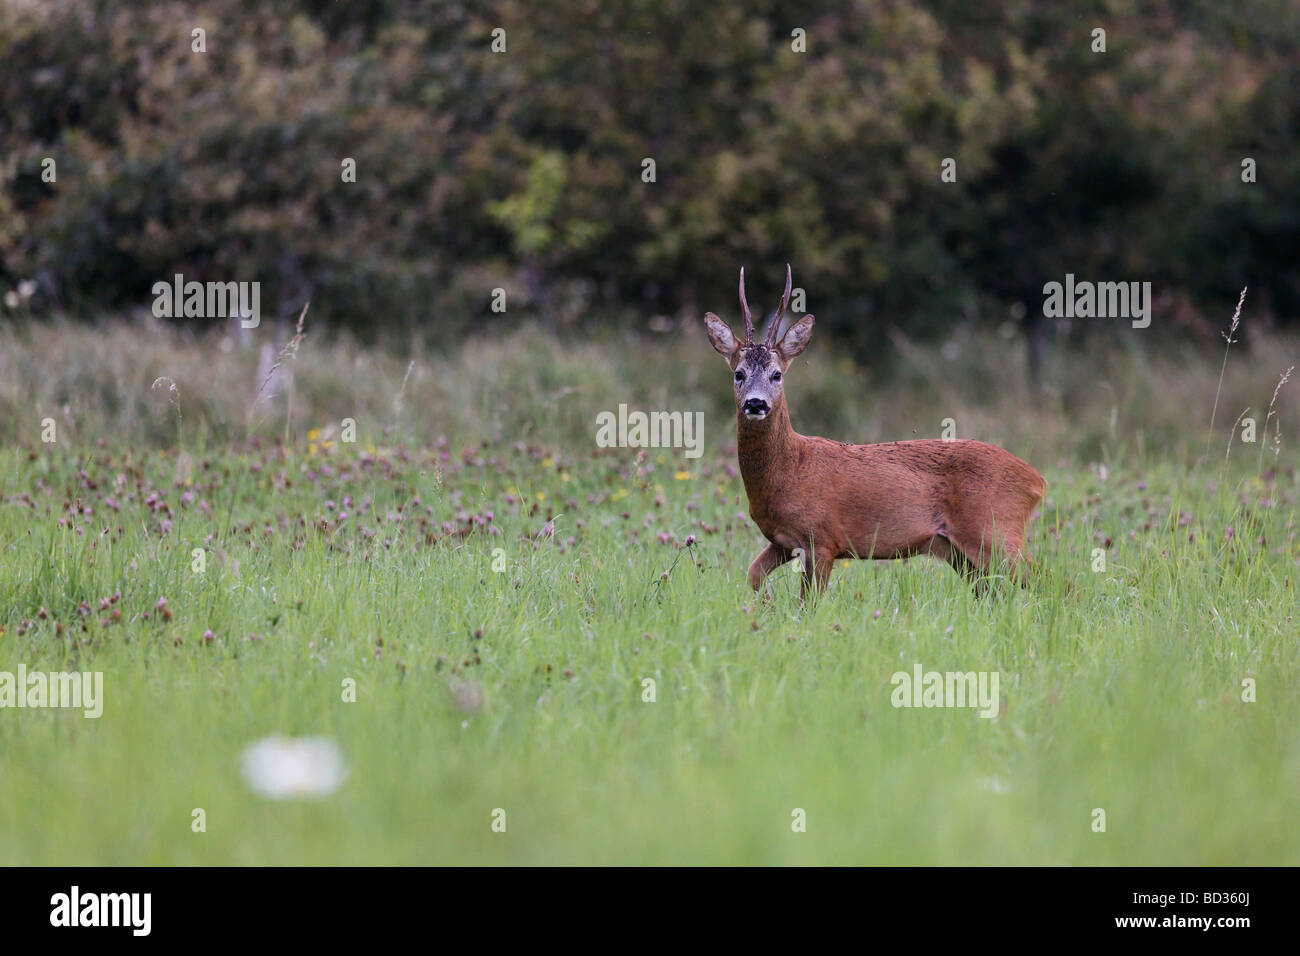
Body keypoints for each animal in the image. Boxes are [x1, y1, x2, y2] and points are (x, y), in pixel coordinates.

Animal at [704, 265, 1047, 599]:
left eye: (777, 374)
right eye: (738, 373)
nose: (756, 403)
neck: (790, 469)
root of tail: (1036, 481)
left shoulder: (822, 538)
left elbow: (808, 602)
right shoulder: (783, 541)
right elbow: (753, 575)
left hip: (996, 531)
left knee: (1045, 581)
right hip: (957, 550)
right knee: (991, 593)